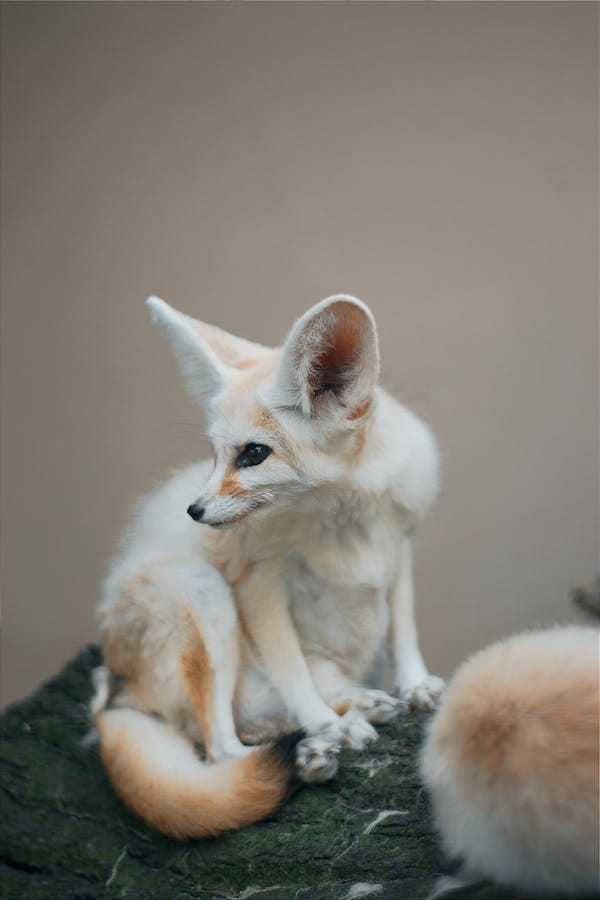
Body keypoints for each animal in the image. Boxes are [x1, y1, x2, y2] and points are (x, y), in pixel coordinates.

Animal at [92, 293, 444, 839]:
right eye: (215, 455)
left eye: (253, 454)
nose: (194, 511)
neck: (344, 524)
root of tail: (113, 696)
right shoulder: (257, 580)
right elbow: (292, 673)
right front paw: (324, 724)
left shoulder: (400, 547)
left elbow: (403, 630)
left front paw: (413, 683)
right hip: (202, 592)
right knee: (220, 750)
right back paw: (316, 744)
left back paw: (354, 712)